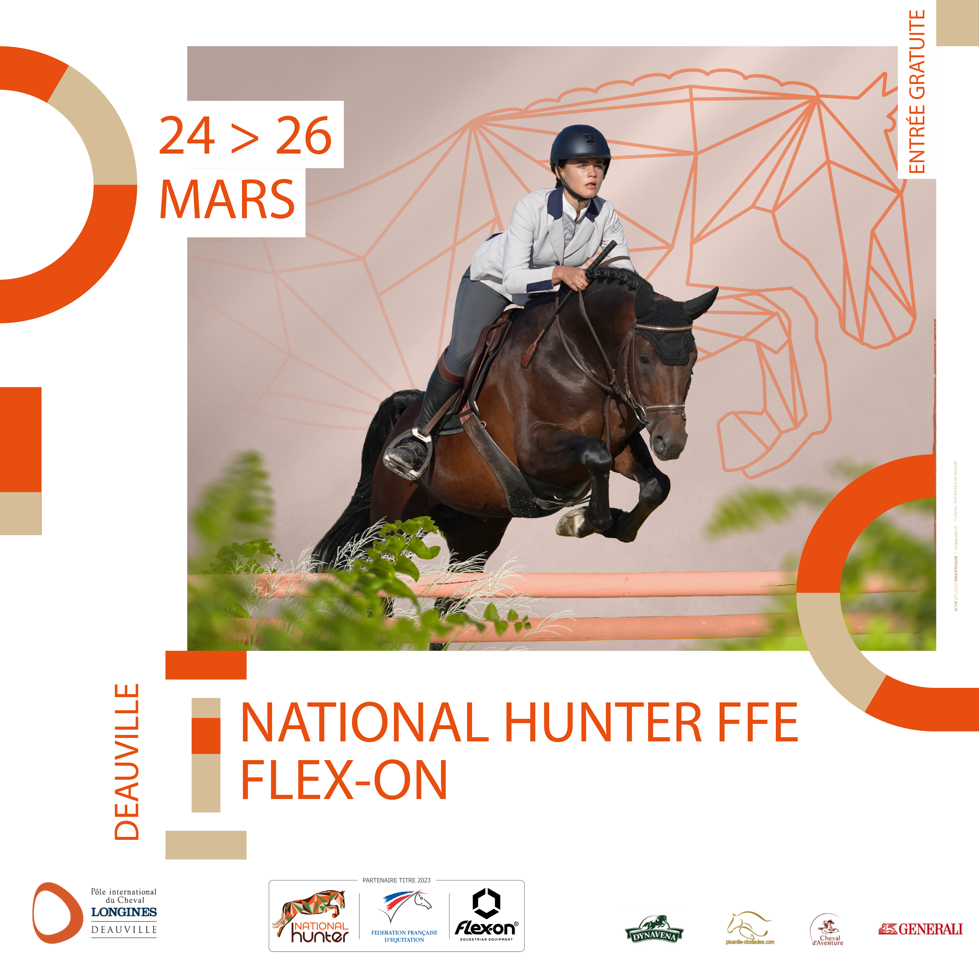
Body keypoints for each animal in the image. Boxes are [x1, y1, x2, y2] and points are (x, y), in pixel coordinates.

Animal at [313, 268, 717, 571]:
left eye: (693, 361)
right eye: (645, 359)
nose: (671, 442)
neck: (581, 359)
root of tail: (403, 419)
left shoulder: (621, 445)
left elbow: (655, 485)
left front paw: (614, 524)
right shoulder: (534, 453)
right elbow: (595, 456)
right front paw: (580, 520)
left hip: (475, 534)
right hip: (391, 522)